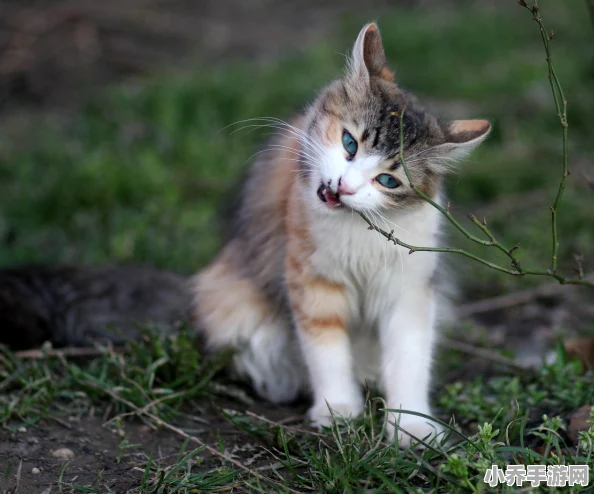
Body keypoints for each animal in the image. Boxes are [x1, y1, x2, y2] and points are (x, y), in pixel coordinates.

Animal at [191, 22, 490, 448]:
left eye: (388, 181)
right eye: (350, 143)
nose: (344, 187)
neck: (360, 232)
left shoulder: (408, 291)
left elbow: (410, 360)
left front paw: (409, 426)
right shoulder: (314, 281)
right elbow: (327, 354)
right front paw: (338, 411)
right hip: (232, 305)